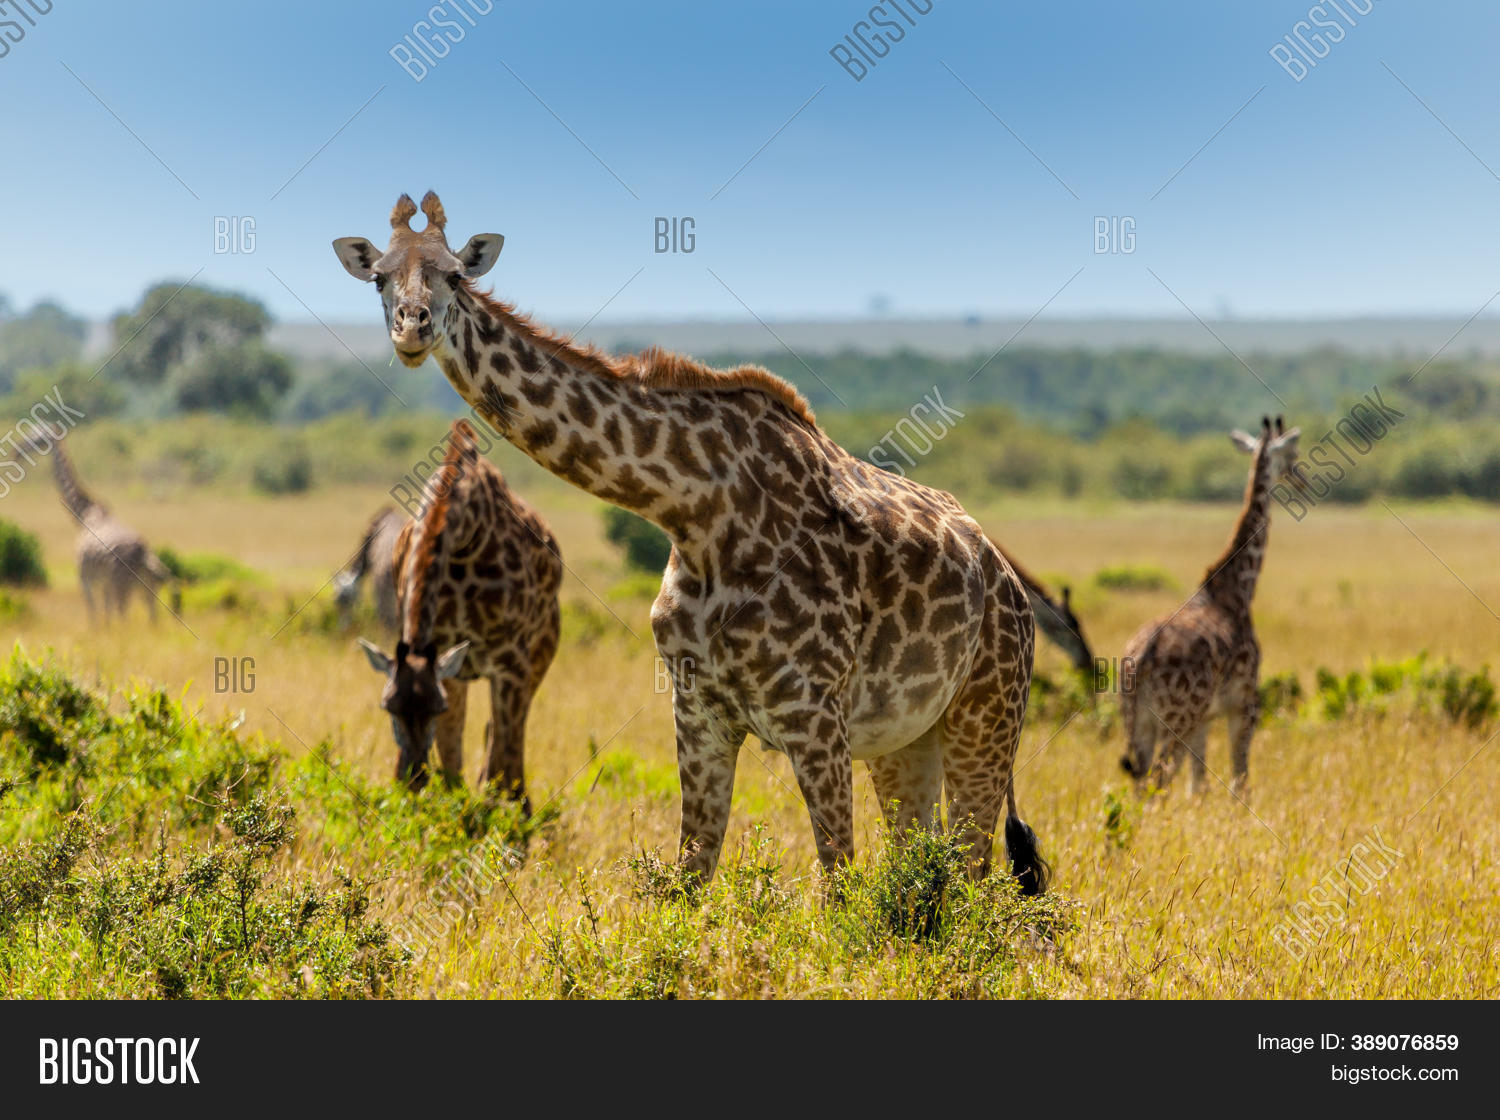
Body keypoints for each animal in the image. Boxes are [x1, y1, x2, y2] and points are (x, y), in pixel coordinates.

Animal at [20, 431, 171, 622]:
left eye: (36, 437)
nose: (17, 451)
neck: (86, 514)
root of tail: (144, 553)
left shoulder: (84, 578)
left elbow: (94, 616)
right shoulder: (103, 583)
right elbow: (105, 616)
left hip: (122, 584)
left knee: (124, 615)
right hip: (145, 588)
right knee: (152, 617)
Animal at [357, 417, 562, 808]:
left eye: (435, 709)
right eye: (388, 706)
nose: (412, 778)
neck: (465, 535)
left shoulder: (511, 662)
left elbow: (507, 760)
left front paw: (510, 821)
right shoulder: (444, 653)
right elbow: (453, 765)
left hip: (541, 652)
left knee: (508, 745)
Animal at [1119, 416, 1301, 796]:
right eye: (1292, 454)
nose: (1300, 477)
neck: (1238, 588)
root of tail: (1141, 658)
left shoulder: (1205, 719)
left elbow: (1198, 786)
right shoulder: (1244, 703)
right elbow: (1240, 779)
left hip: (1136, 720)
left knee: (1142, 783)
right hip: (1179, 717)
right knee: (1159, 779)